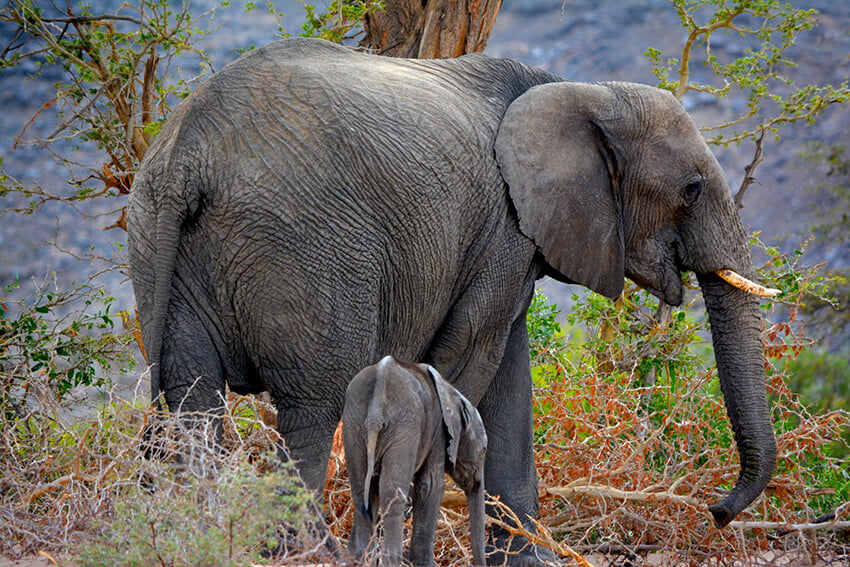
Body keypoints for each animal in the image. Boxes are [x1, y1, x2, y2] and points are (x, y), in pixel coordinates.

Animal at [342, 355, 487, 567]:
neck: (453, 393)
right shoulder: (439, 431)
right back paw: (391, 560)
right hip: (404, 427)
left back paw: (363, 559)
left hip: (353, 424)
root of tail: (376, 410)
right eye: (483, 450)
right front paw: (427, 564)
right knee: (391, 492)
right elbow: (430, 485)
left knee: (362, 490)